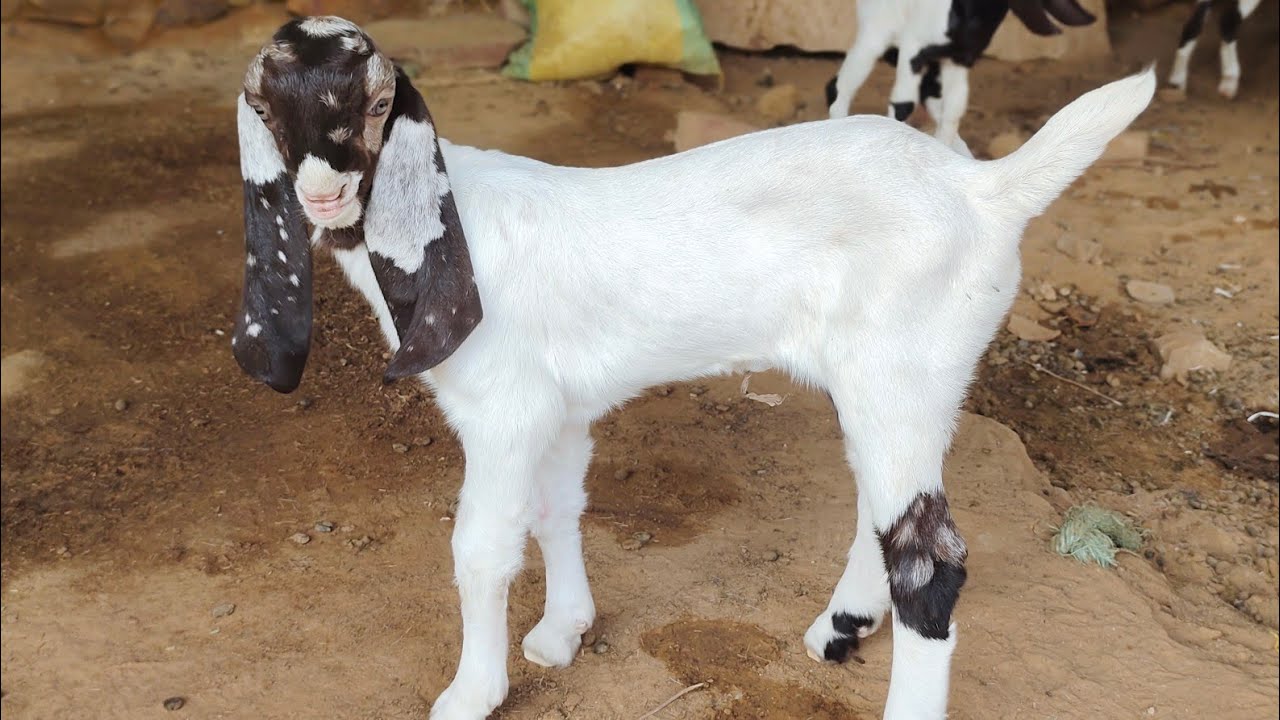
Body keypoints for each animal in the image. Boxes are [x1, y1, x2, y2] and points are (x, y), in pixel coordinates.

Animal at [230, 16, 1155, 720]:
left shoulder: (504, 411)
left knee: (930, 562)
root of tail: (985, 192)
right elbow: (556, 510)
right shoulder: (560, 408)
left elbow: (482, 549)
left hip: (902, 370)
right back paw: (842, 626)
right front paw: (564, 631)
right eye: (265, 109)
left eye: (381, 103)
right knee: (881, 510)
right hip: (899, 382)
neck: (453, 225)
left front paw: (472, 694)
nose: (321, 197)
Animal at [825, 0, 1097, 157]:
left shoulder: (959, 60)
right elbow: (903, 104)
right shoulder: (913, 49)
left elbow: (953, 112)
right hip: (875, 35)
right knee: (839, 87)